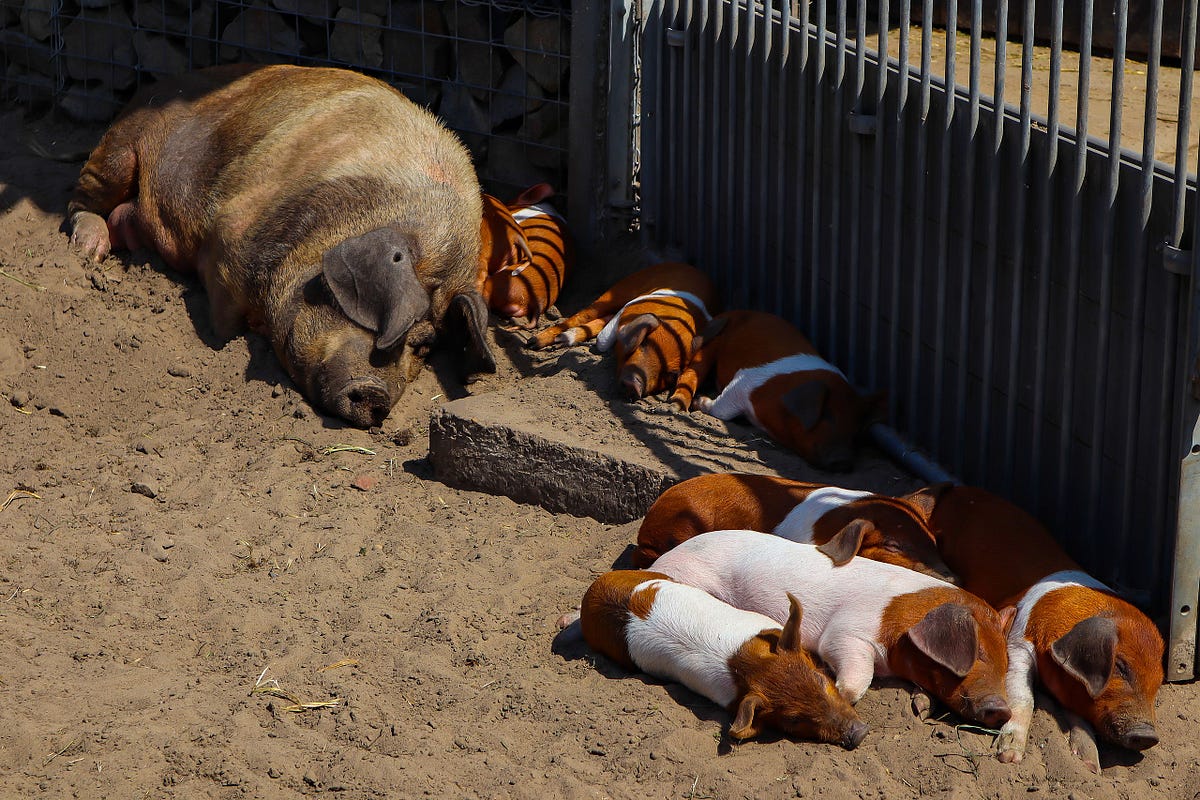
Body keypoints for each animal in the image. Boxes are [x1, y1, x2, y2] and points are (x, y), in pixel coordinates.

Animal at [66, 64, 494, 428]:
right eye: (381, 319)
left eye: (424, 346)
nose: (379, 400)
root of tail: (152, 89)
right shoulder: (230, 231)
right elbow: (225, 325)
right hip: (120, 150)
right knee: (83, 198)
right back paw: (88, 250)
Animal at [527, 261, 719, 400]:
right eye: (644, 344)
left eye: (672, 375)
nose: (634, 386)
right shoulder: (630, 306)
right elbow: (603, 340)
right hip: (617, 291)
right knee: (583, 315)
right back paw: (536, 342)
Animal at [650, 530, 1014, 728]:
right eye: (979, 654)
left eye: (1006, 664)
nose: (1003, 711)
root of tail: (661, 561)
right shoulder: (847, 631)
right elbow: (856, 678)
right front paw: (835, 686)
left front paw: (921, 708)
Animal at [671, 310, 884, 472]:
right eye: (827, 414)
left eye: (856, 428)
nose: (843, 460)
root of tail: (733, 312)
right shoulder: (745, 379)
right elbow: (724, 409)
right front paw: (701, 401)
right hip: (712, 342)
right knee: (692, 371)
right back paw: (678, 406)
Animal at [919, 484, 1164, 772]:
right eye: (1121, 667)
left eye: (1159, 680)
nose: (1148, 736)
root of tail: (953, 488)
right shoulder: (1017, 639)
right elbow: (1023, 696)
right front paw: (1008, 756)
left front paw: (1091, 766)